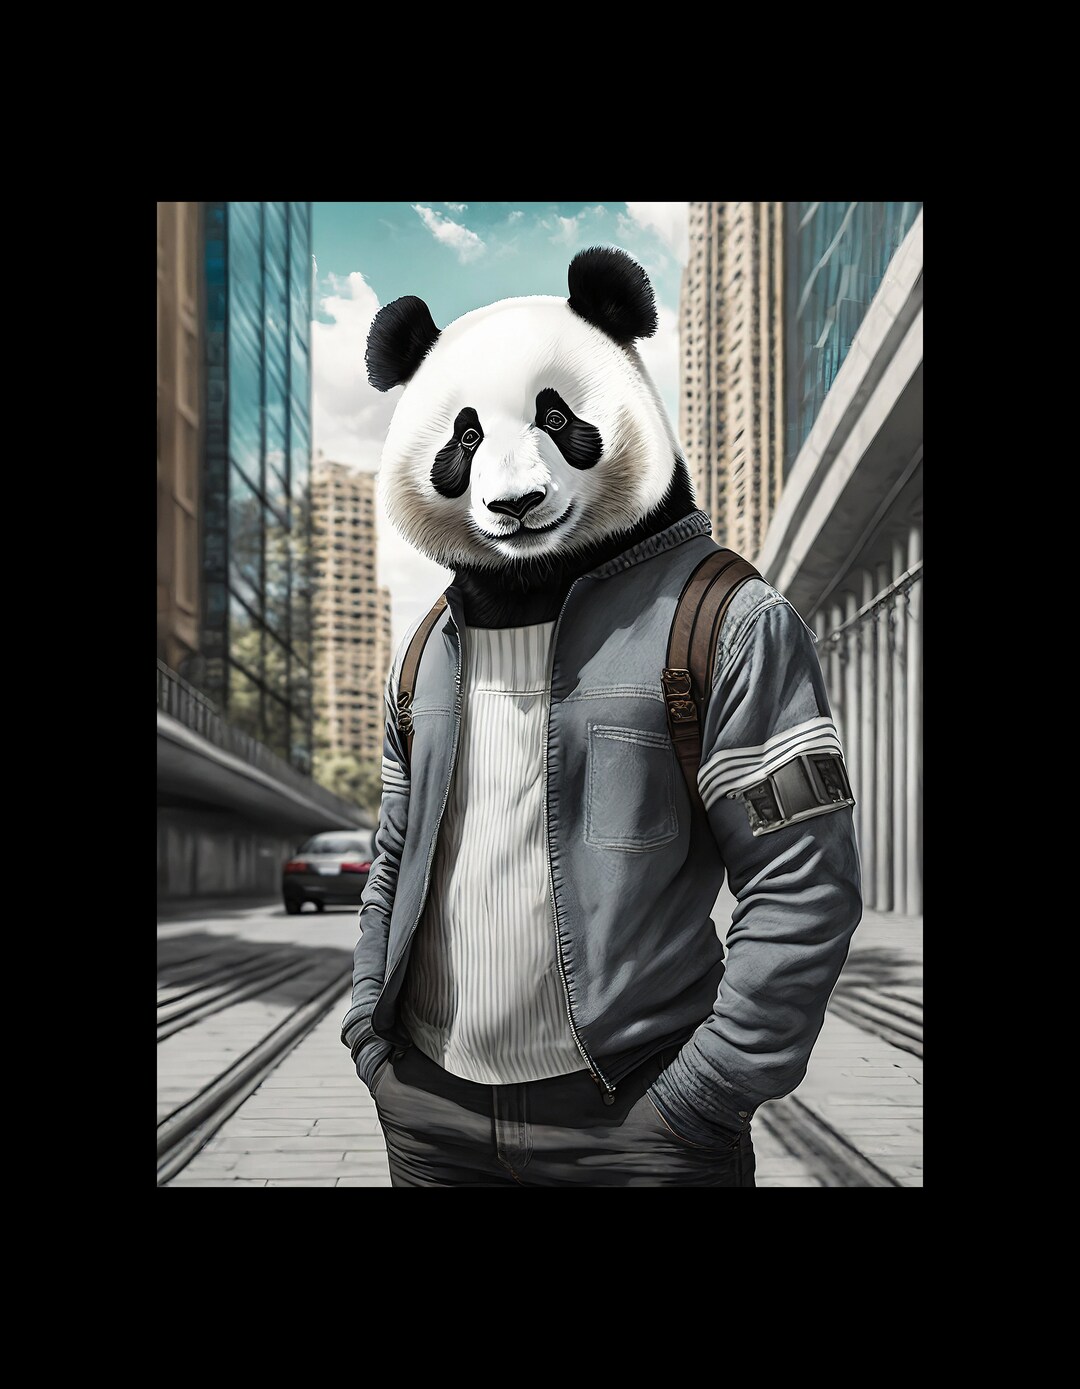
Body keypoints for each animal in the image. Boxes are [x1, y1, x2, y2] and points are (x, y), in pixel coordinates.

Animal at [342, 246, 862, 1188]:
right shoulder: (419, 683)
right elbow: (399, 830)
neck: (534, 590)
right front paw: (370, 1026)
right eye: (464, 438)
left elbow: (783, 851)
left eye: (557, 415)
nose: (515, 505)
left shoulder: (757, 629)